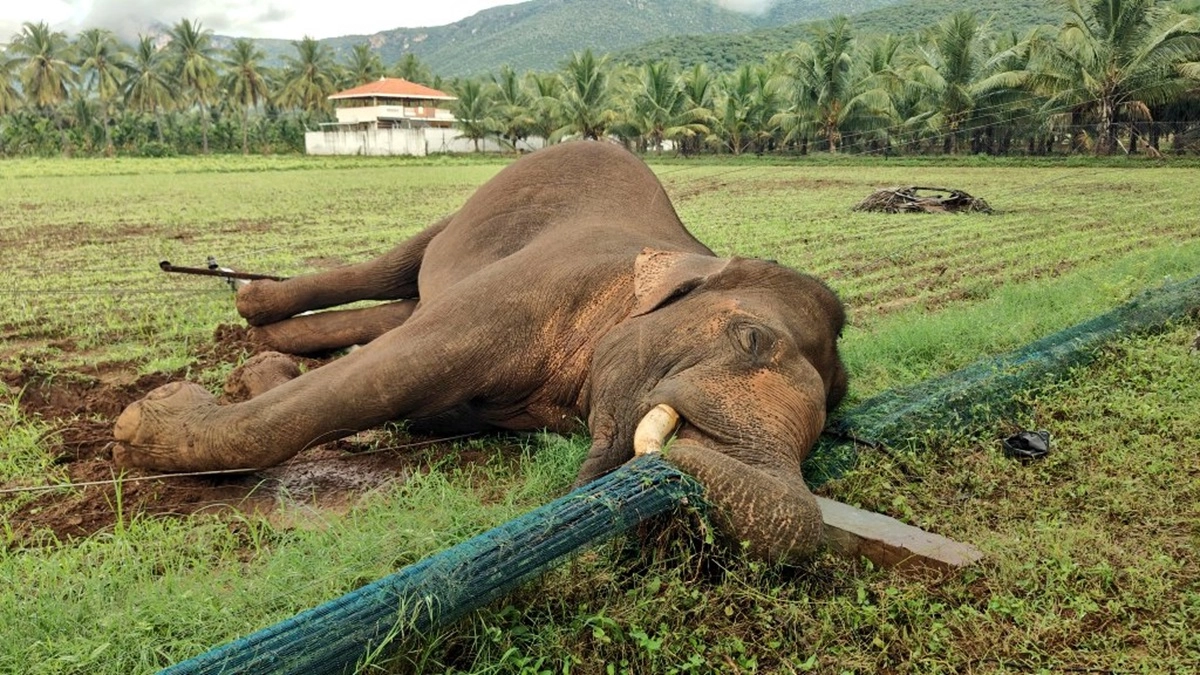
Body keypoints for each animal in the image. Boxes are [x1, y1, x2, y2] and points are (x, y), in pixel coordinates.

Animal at [113, 141, 848, 565]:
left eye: (825, 428)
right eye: (752, 340)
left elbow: (421, 403)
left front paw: (255, 378)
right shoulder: (534, 287)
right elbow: (385, 373)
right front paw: (142, 424)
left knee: (401, 303)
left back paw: (263, 343)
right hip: (473, 202)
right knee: (395, 270)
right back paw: (248, 305)